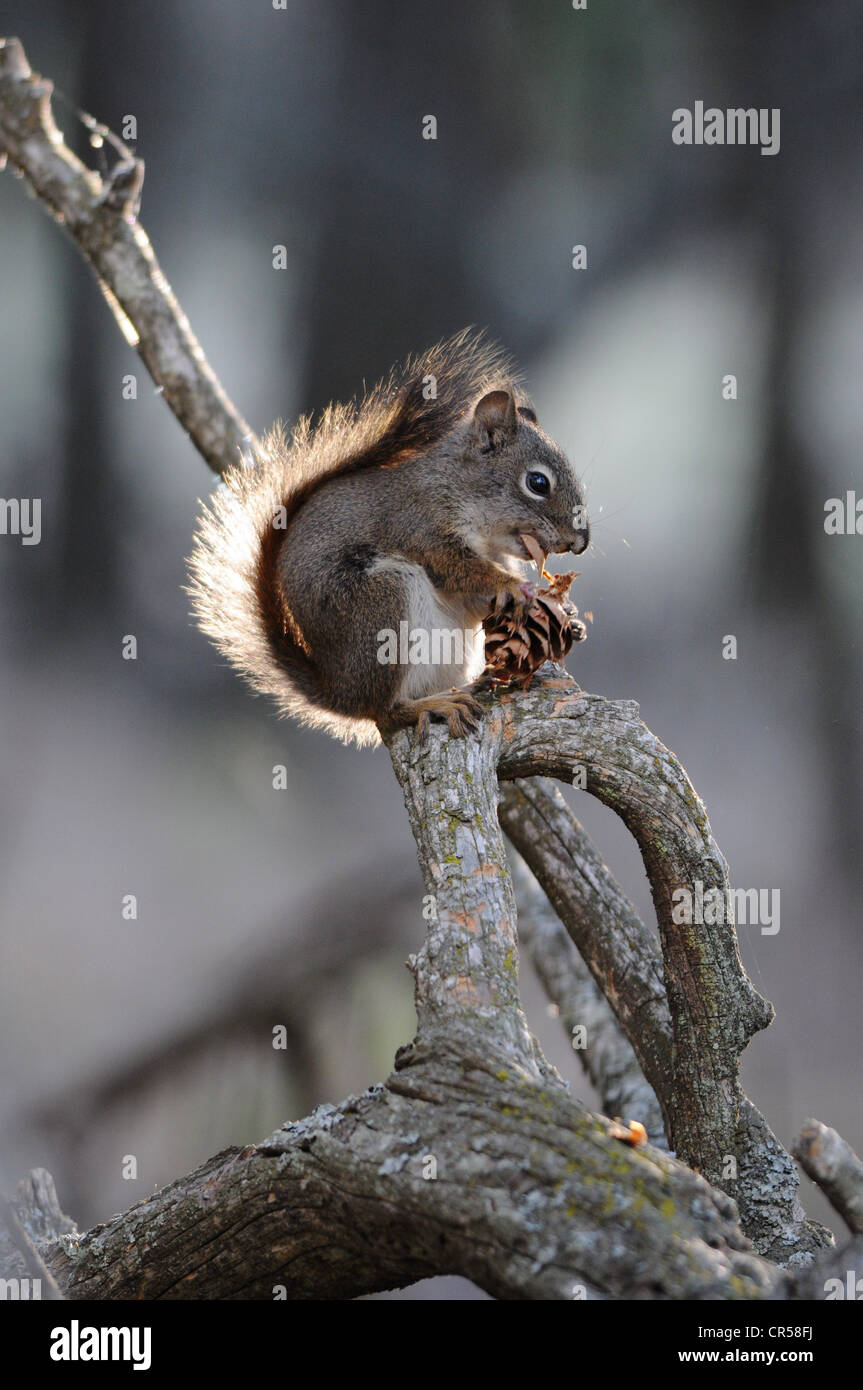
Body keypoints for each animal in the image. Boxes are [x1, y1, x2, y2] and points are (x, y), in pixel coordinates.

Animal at [188, 329, 589, 747]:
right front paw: (515, 585)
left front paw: (569, 617)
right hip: (382, 605)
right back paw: (432, 705)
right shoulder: (419, 524)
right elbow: (457, 568)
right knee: (386, 712)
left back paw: (469, 687)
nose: (582, 541)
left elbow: (477, 600)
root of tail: (341, 694)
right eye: (538, 482)